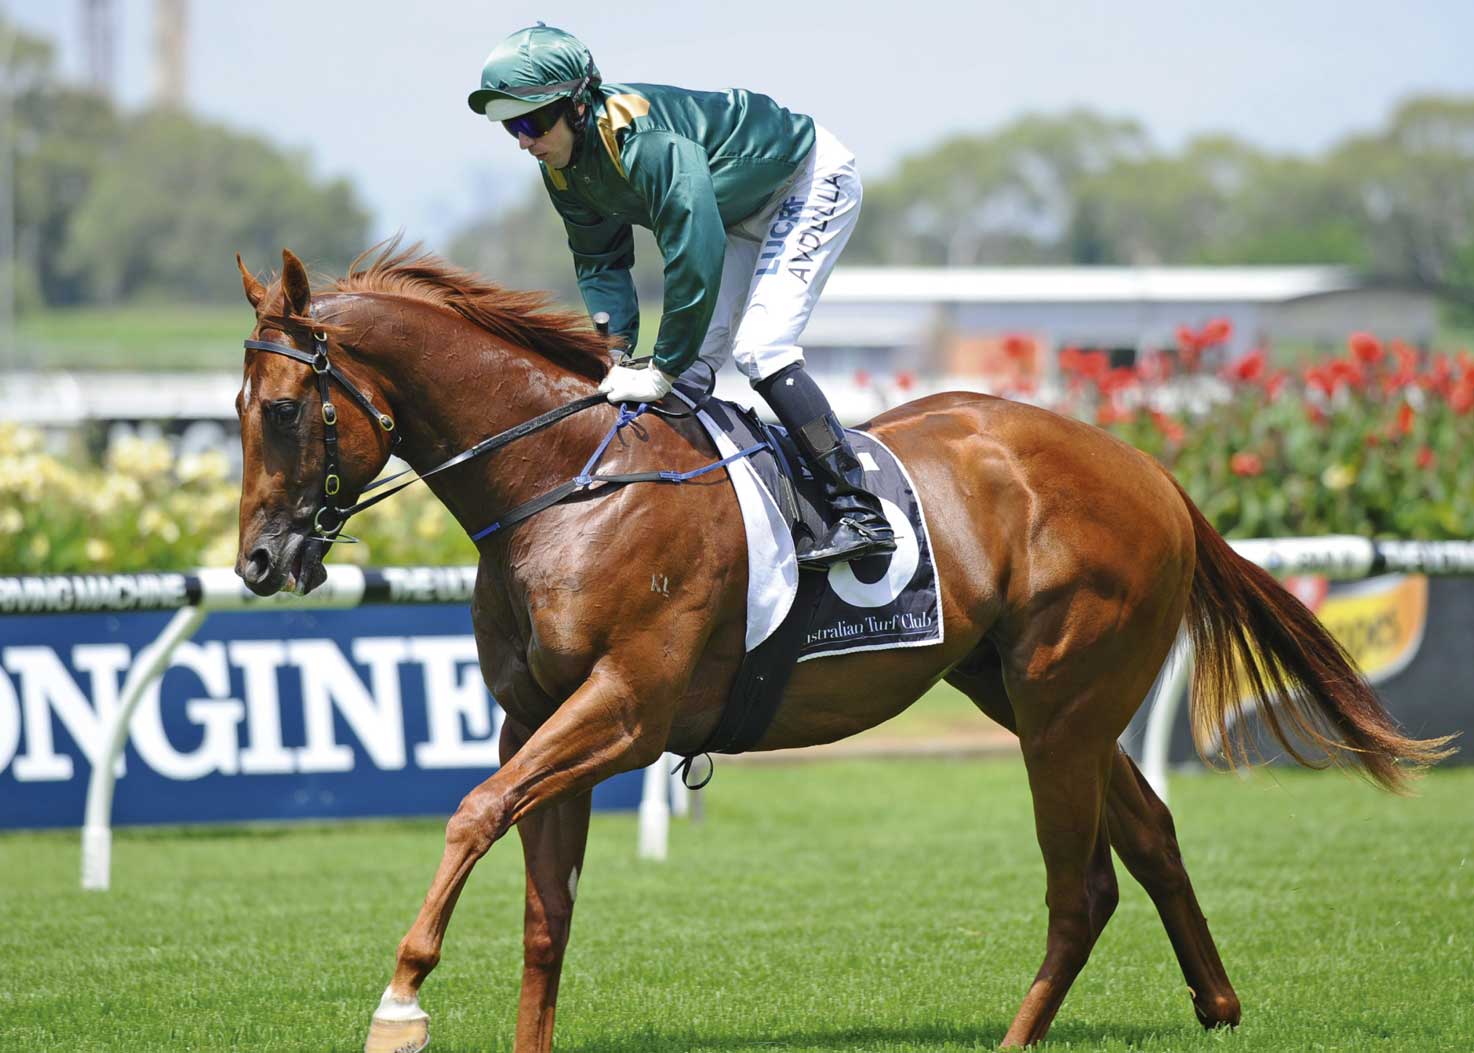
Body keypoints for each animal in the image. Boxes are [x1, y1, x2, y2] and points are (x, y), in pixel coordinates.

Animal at [233, 243, 1451, 1053]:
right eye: (236, 410)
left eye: (285, 409)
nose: (256, 561)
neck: (569, 488)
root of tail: (1148, 466)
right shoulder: (535, 717)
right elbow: (545, 910)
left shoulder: (625, 710)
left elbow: (473, 812)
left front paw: (401, 999)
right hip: (1028, 693)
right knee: (1148, 833)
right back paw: (1218, 1003)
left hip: (1061, 703)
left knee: (1082, 886)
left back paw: (1022, 1035)